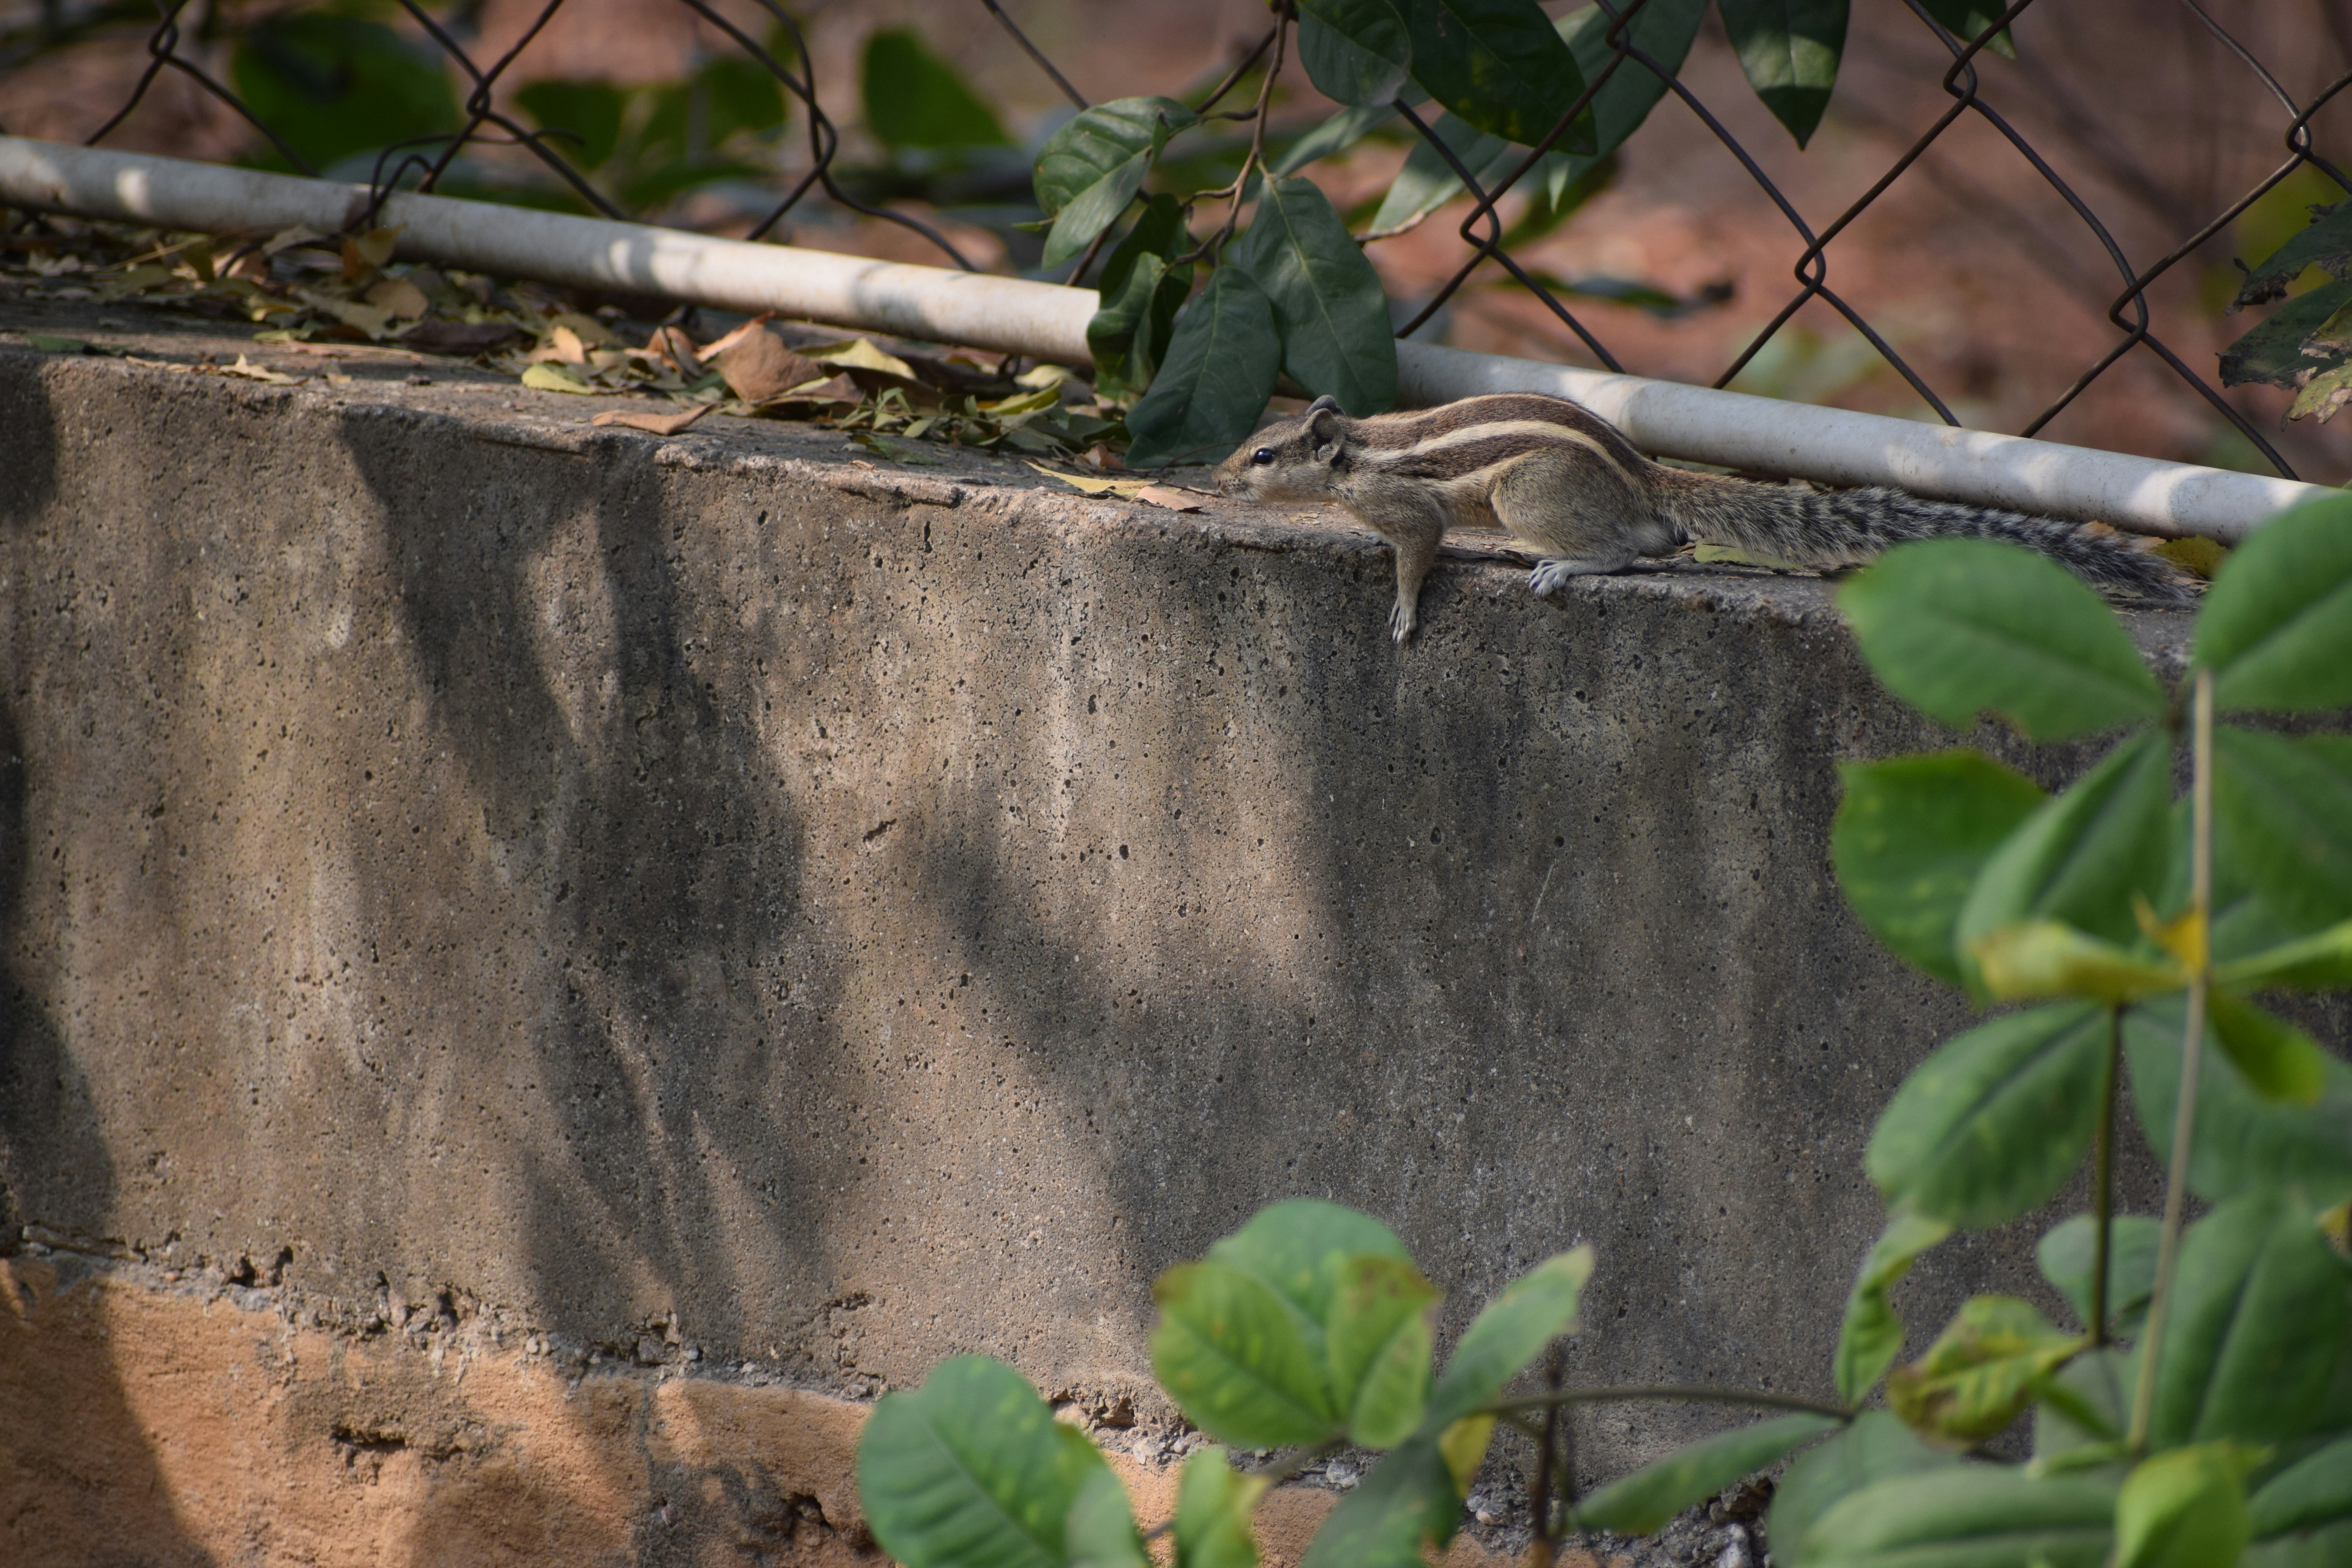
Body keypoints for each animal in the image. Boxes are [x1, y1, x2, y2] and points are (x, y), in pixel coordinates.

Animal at [1213, 392, 2198, 643]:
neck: (1353, 456)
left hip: (1525, 493)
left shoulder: (1404, 504)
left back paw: (1563, 563)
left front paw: (1404, 612)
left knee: (1620, 551)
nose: (1219, 479)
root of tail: (1644, 472)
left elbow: (1419, 544)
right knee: (1656, 544)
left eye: (1263, 456)